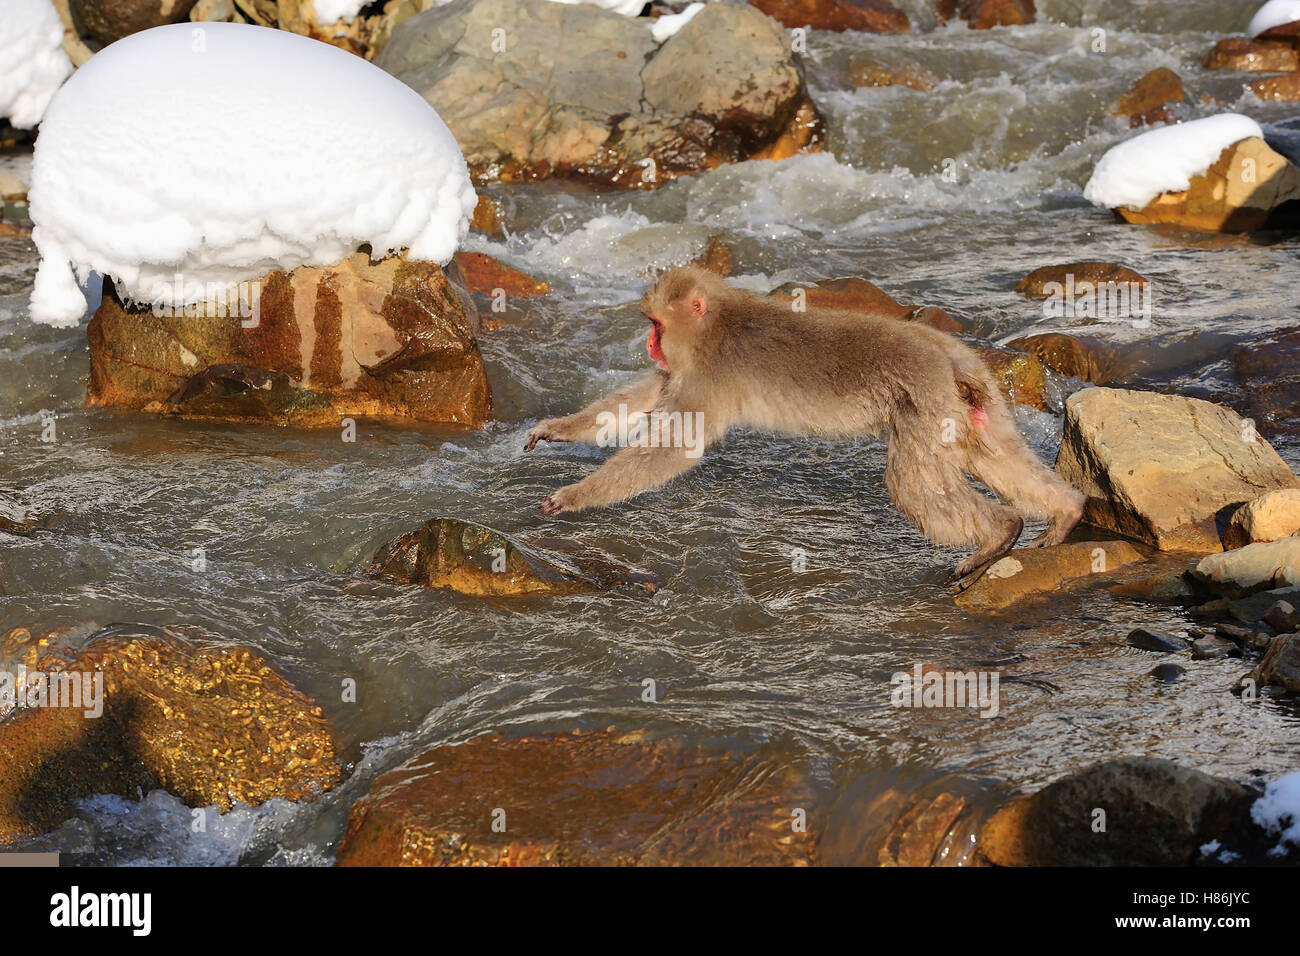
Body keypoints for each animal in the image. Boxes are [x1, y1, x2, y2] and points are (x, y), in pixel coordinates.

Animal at [524, 266, 1085, 586]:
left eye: (656, 325)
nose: (650, 346)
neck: (716, 325)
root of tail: (950, 359)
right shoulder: (684, 369)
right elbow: (644, 398)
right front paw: (557, 429)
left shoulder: (709, 372)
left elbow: (676, 447)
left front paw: (573, 496)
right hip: (971, 404)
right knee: (994, 453)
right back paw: (1066, 512)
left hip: (923, 403)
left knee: (910, 481)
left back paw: (1001, 533)